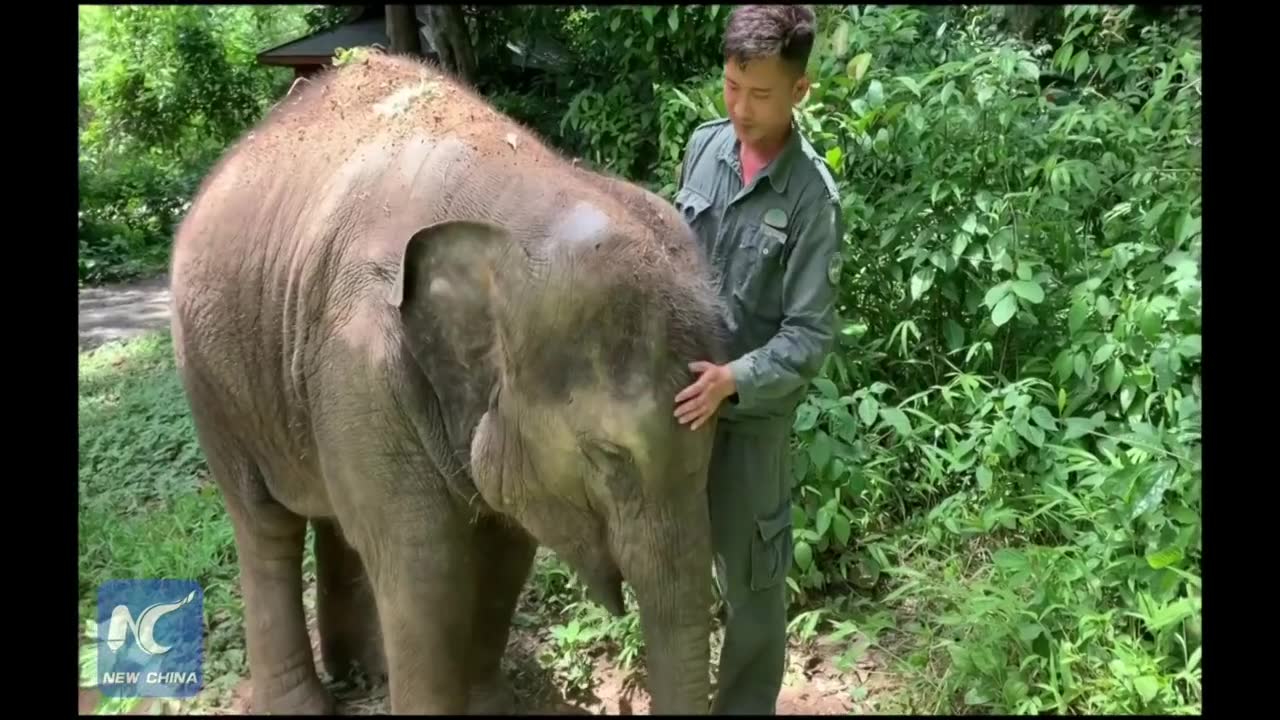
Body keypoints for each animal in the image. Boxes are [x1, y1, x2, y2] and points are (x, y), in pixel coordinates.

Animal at [168, 50, 727, 715]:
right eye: (607, 454)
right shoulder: (363, 368)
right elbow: (426, 572)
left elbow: (507, 547)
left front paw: (490, 705)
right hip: (210, 379)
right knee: (265, 527)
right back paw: (306, 702)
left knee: (335, 521)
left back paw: (368, 670)